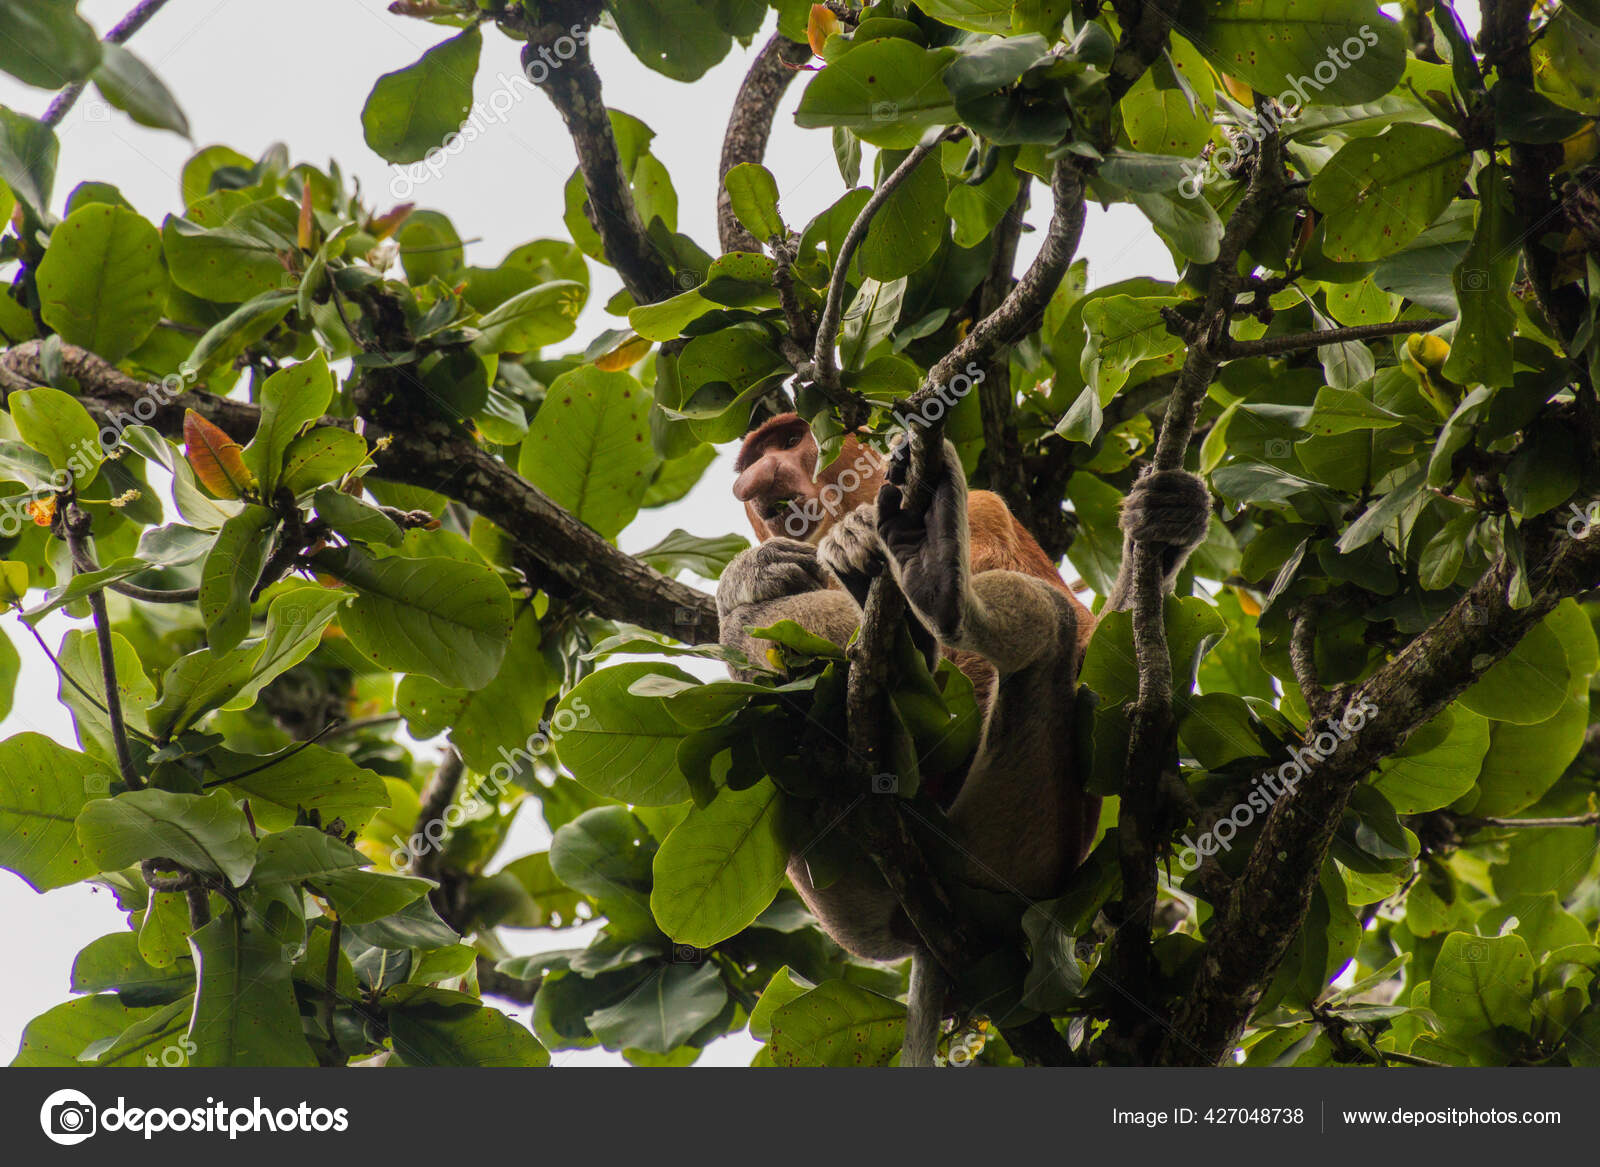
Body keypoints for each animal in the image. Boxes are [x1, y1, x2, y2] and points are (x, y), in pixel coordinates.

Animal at [716, 414, 1211, 1064]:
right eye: (752, 455)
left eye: (788, 439)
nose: (753, 479)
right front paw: (750, 574)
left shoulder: (987, 506)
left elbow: (1091, 656)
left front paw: (1166, 518)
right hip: (847, 903)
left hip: (1016, 849)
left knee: (1049, 624)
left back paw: (927, 588)